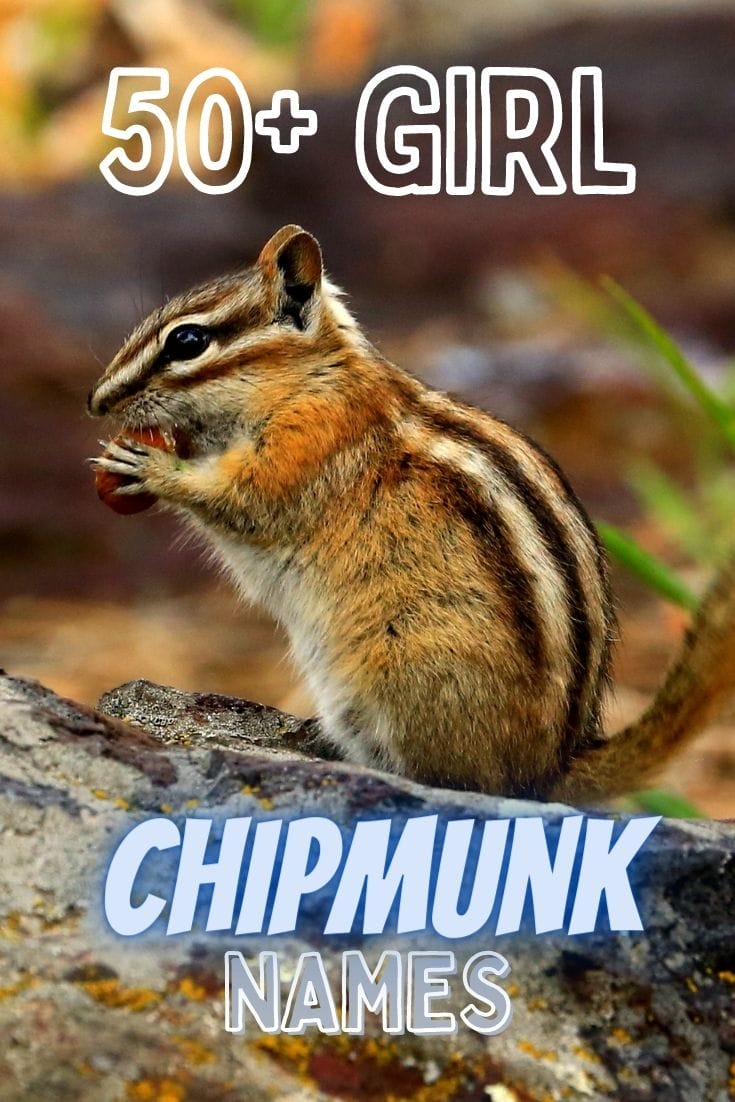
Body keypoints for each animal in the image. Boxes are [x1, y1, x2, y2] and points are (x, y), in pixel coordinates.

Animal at [88, 224, 735, 803]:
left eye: (187, 342)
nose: (97, 401)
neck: (312, 379)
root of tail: (549, 771)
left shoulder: (309, 446)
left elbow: (246, 501)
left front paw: (148, 465)